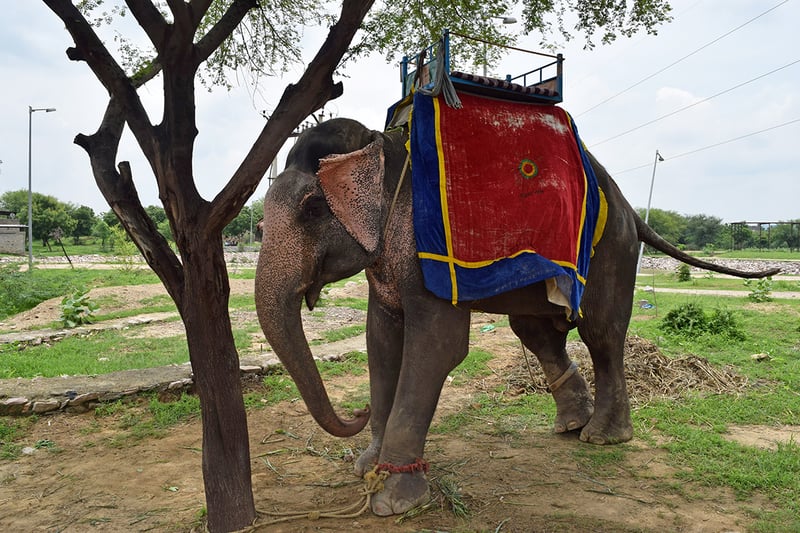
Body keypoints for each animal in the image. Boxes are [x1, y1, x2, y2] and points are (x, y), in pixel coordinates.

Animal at [254, 117, 779, 516]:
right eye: (258, 225)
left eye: (313, 207)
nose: (357, 411)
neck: (385, 146)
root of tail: (633, 211)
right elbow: (380, 342)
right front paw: (367, 468)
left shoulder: (429, 250)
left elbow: (437, 349)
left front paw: (393, 501)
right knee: (536, 331)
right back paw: (571, 426)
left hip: (612, 252)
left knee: (602, 335)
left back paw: (602, 438)